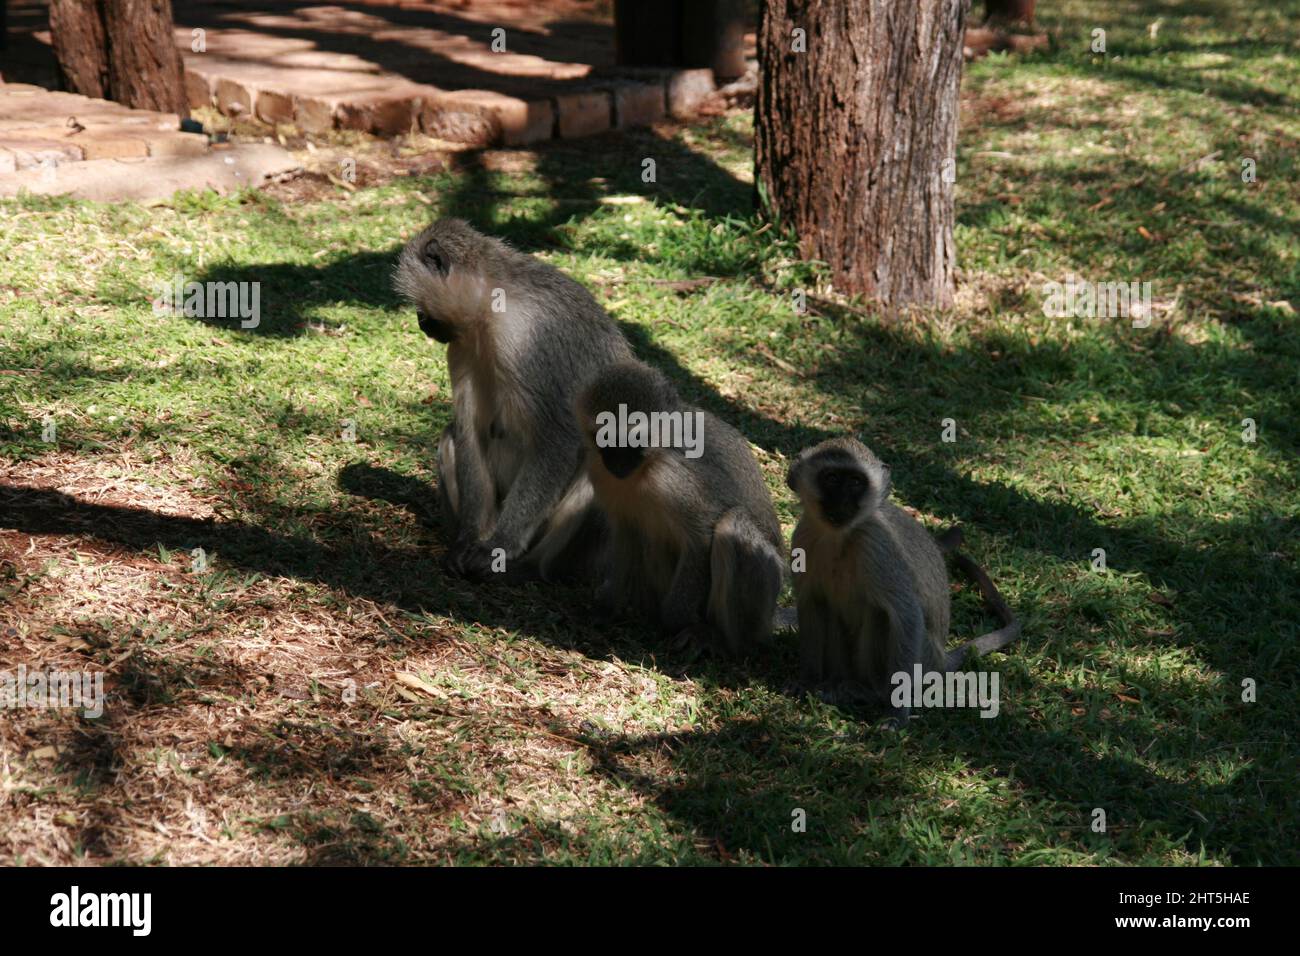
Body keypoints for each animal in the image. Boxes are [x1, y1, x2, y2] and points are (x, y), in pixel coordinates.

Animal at [394, 218, 632, 582]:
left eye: (421, 306)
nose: (421, 322)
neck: (492, 303)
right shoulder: (462, 345)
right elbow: (470, 431)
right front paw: (468, 541)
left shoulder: (526, 337)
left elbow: (558, 438)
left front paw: (499, 547)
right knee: (452, 435)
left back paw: (527, 568)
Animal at [574, 359, 786, 656]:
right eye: (605, 439)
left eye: (633, 441)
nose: (618, 464)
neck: (646, 465)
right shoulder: (600, 471)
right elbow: (626, 532)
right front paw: (606, 606)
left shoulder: (674, 476)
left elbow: (701, 539)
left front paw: (675, 620)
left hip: (762, 600)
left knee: (732, 524)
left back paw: (720, 639)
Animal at [787, 437, 1021, 722]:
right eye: (831, 478)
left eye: (855, 482)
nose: (842, 502)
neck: (838, 538)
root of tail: (940, 661)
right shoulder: (803, 538)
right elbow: (811, 603)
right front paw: (807, 681)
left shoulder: (878, 546)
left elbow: (906, 615)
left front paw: (896, 713)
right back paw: (837, 683)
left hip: (922, 657)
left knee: (879, 614)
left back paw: (867, 691)